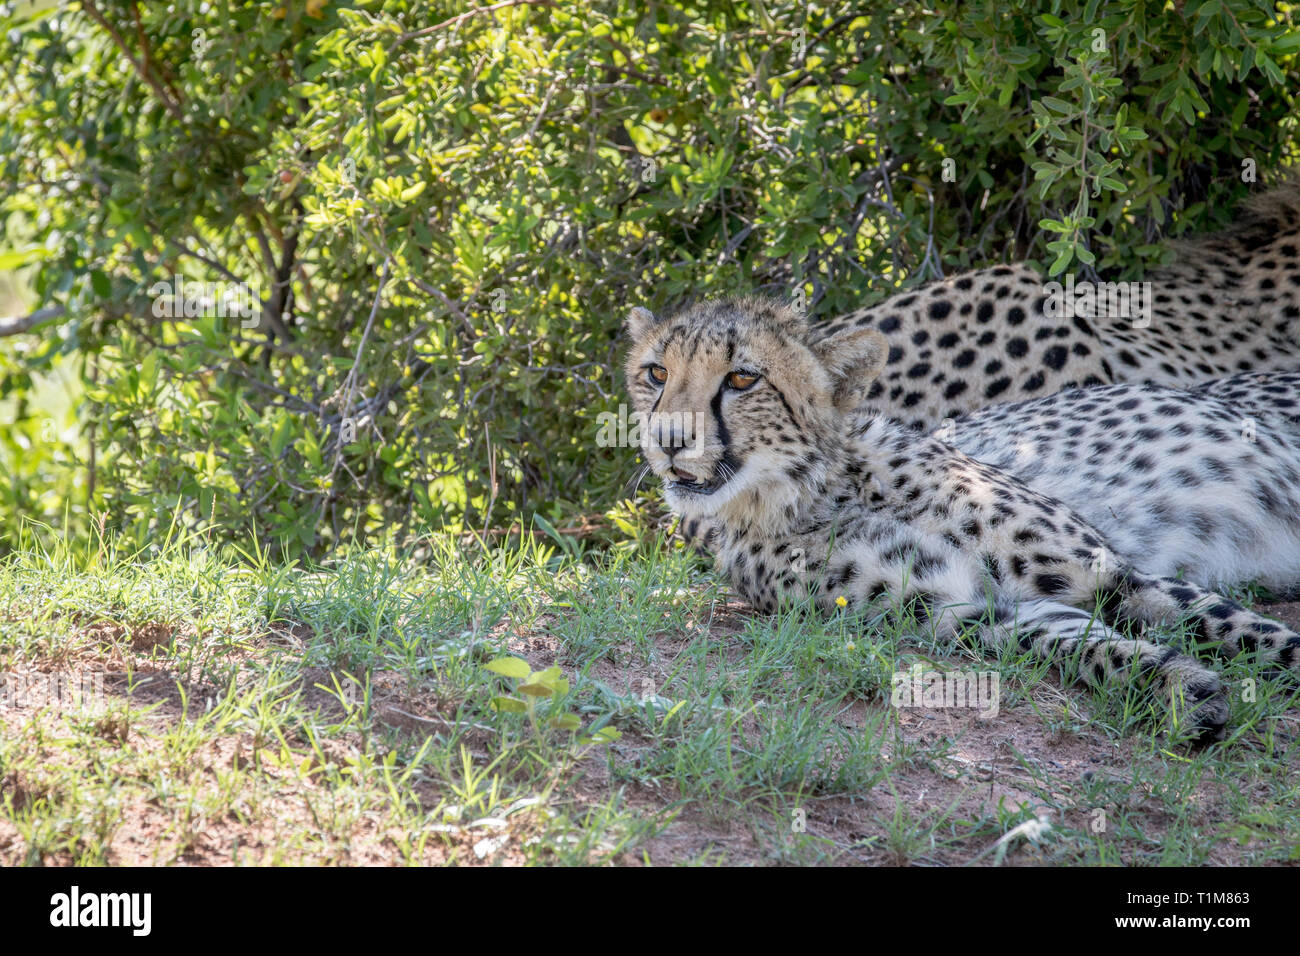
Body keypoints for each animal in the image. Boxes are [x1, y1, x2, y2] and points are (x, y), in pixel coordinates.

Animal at [623, 297, 1300, 743]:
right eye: (656, 373)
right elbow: (1082, 644)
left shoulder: (1106, 573)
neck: (819, 492)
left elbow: (1246, 629)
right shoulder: (970, 611)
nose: (668, 439)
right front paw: (1181, 687)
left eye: (743, 378)